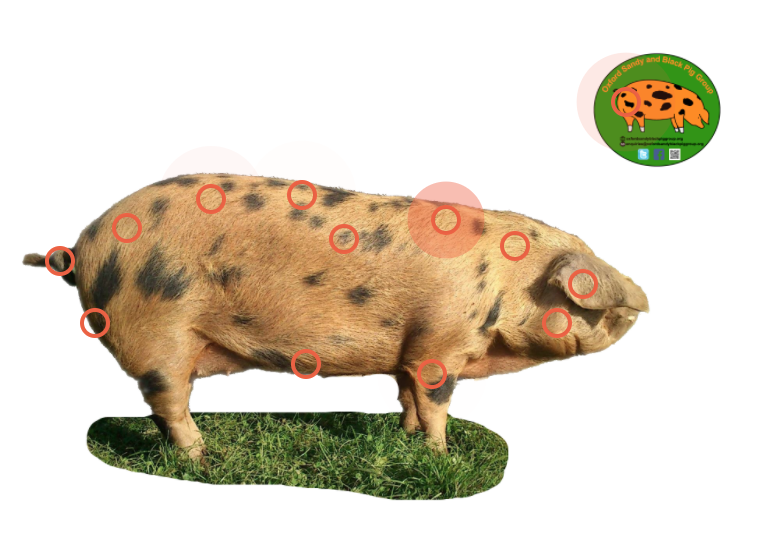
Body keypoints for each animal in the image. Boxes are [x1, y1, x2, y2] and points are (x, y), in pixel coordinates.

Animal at [23, 174, 649, 457]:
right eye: (587, 299)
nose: (644, 301)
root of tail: (79, 247)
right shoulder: (441, 341)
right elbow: (436, 401)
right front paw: (443, 455)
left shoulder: (409, 348)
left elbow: (406, 395)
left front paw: (406, 438)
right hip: (157, 330)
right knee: (168, 400)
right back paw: (203, 458)